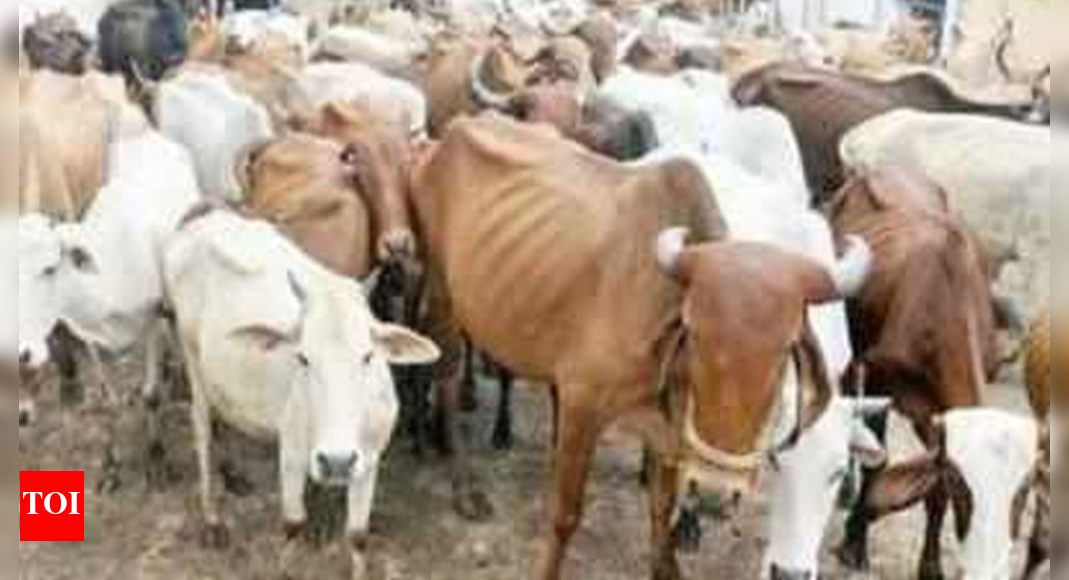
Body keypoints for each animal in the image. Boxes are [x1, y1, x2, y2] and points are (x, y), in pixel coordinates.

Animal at [162, 207, 439, 580]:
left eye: (368, 356)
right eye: (303, 357)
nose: (336, 462)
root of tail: (203, 218)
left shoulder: (369, 459)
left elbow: (358, 534)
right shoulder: (291, 451)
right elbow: (292, 524)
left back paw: (233, 476)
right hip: (191, 358)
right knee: (203, 431)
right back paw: (212, 518)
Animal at [401, 114, 872, 579]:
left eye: (785, 348)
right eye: (693, 330)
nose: (716, 494)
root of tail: (452, 131)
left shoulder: (667, 436)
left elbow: (661, 514)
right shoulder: (582, 406)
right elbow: (565, 516)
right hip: (442, 291)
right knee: (445, 373)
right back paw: (462, 483)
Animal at [827, 171, 999, 580]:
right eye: (971, 497)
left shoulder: (935, 410)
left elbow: (935, 487)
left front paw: (931, 565)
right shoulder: (878, 377)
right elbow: (878, 463)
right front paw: (854, 543)